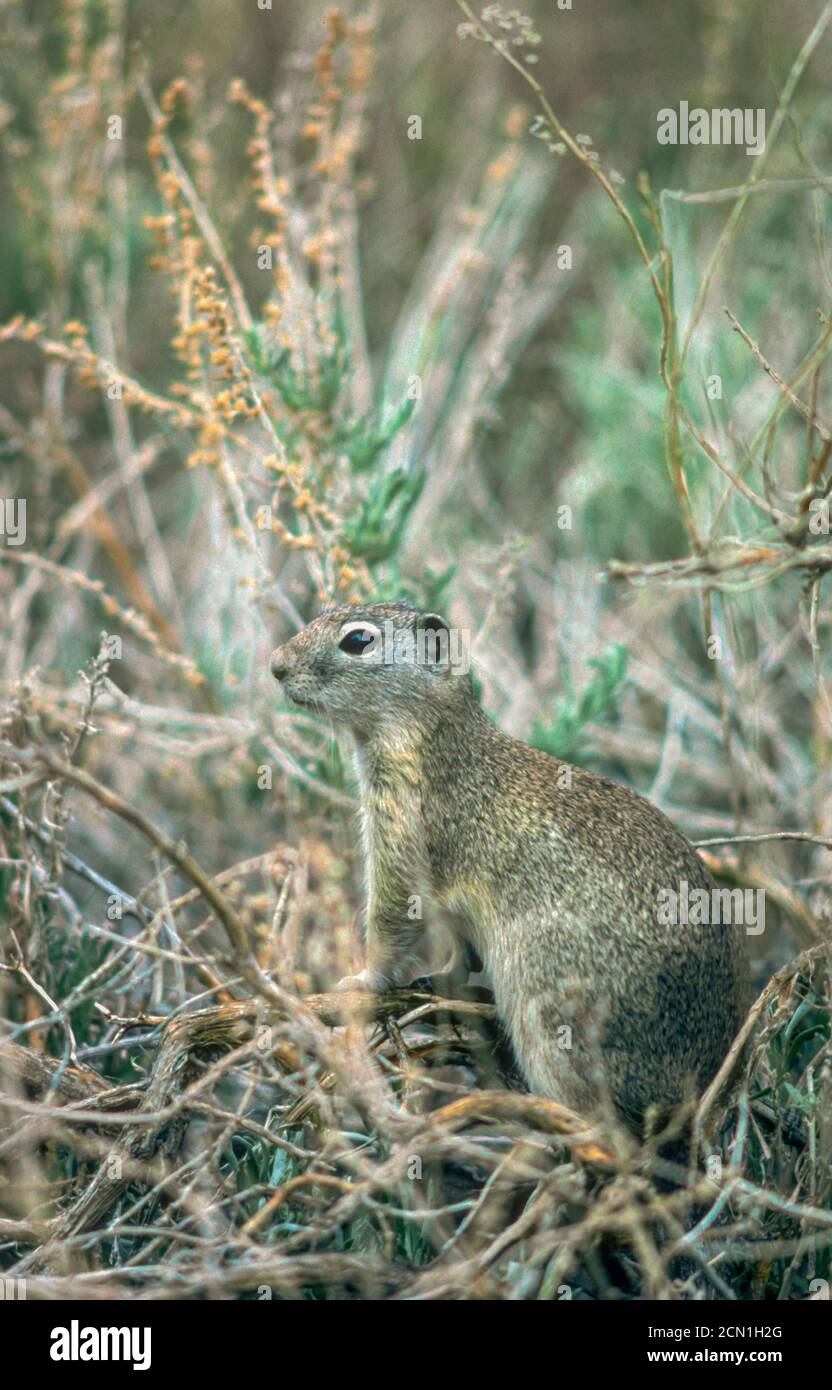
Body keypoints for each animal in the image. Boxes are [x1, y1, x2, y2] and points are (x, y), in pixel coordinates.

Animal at [270, 600, 750, 1133]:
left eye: (358, 640)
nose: (276, 666)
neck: (430, 732)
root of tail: (695, 1091)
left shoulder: (400, 849)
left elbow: (389, 931)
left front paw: (358, 983)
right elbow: (456, 955)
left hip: (546, 1010)